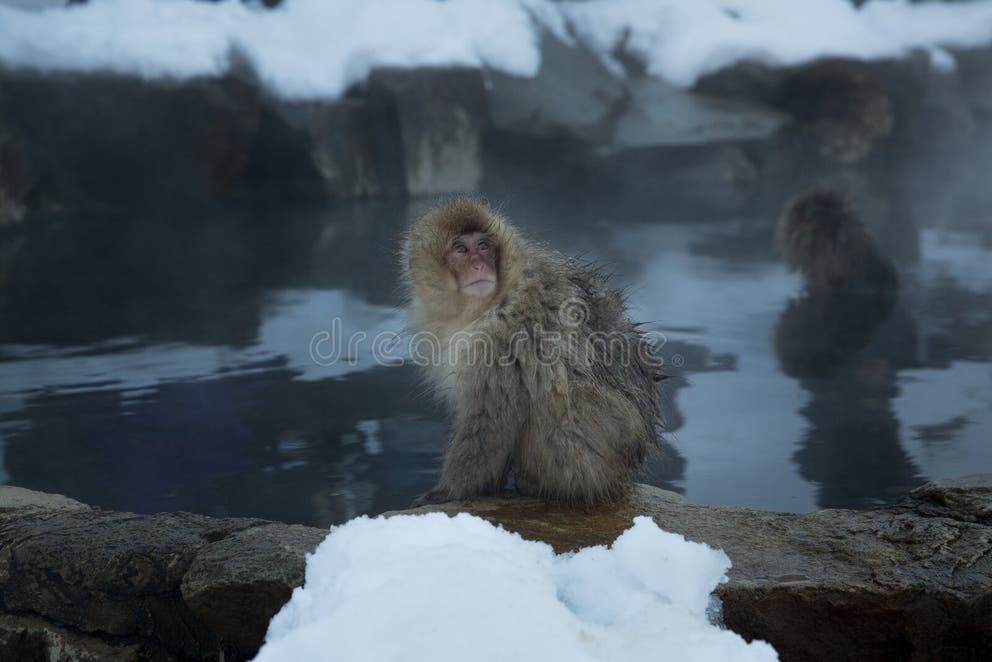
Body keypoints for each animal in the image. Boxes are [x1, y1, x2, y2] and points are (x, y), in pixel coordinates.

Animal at [404, 199, 662, 507]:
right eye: (460, 249)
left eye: (483, 245)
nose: (478, 265)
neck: (488, 304)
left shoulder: (502, 337)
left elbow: (488, 422)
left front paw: (448, 491)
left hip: (583, 454)